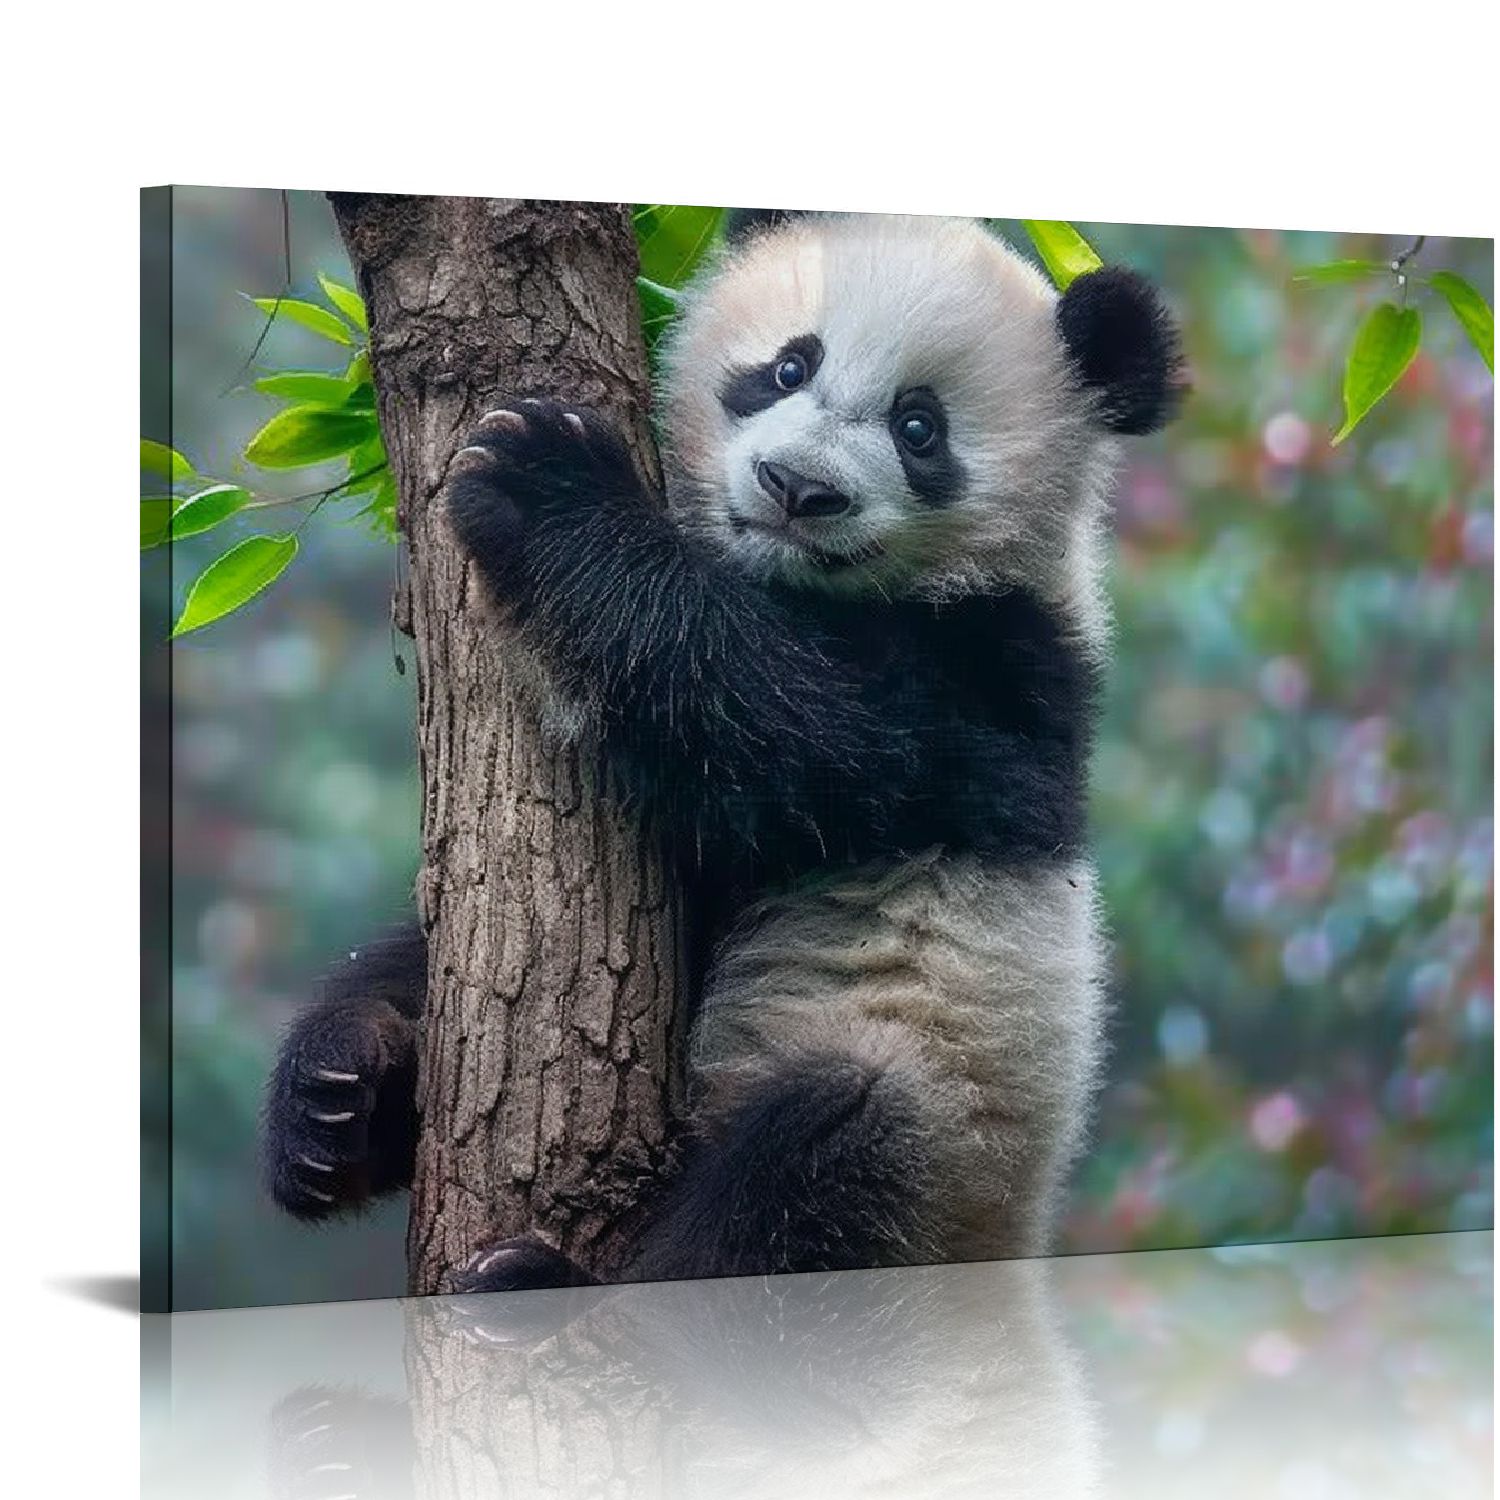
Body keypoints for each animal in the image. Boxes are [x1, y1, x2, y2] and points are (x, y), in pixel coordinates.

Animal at [262, 208, 1183, 1290]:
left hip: (939, 1109)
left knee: (808, 1181)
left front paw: (545, 482)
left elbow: (792, 723)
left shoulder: (996, 677)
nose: (796, 488)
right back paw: (336, 1099)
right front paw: (333, 1088)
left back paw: (545, 1287)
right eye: (790, 365)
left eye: (920, 429)